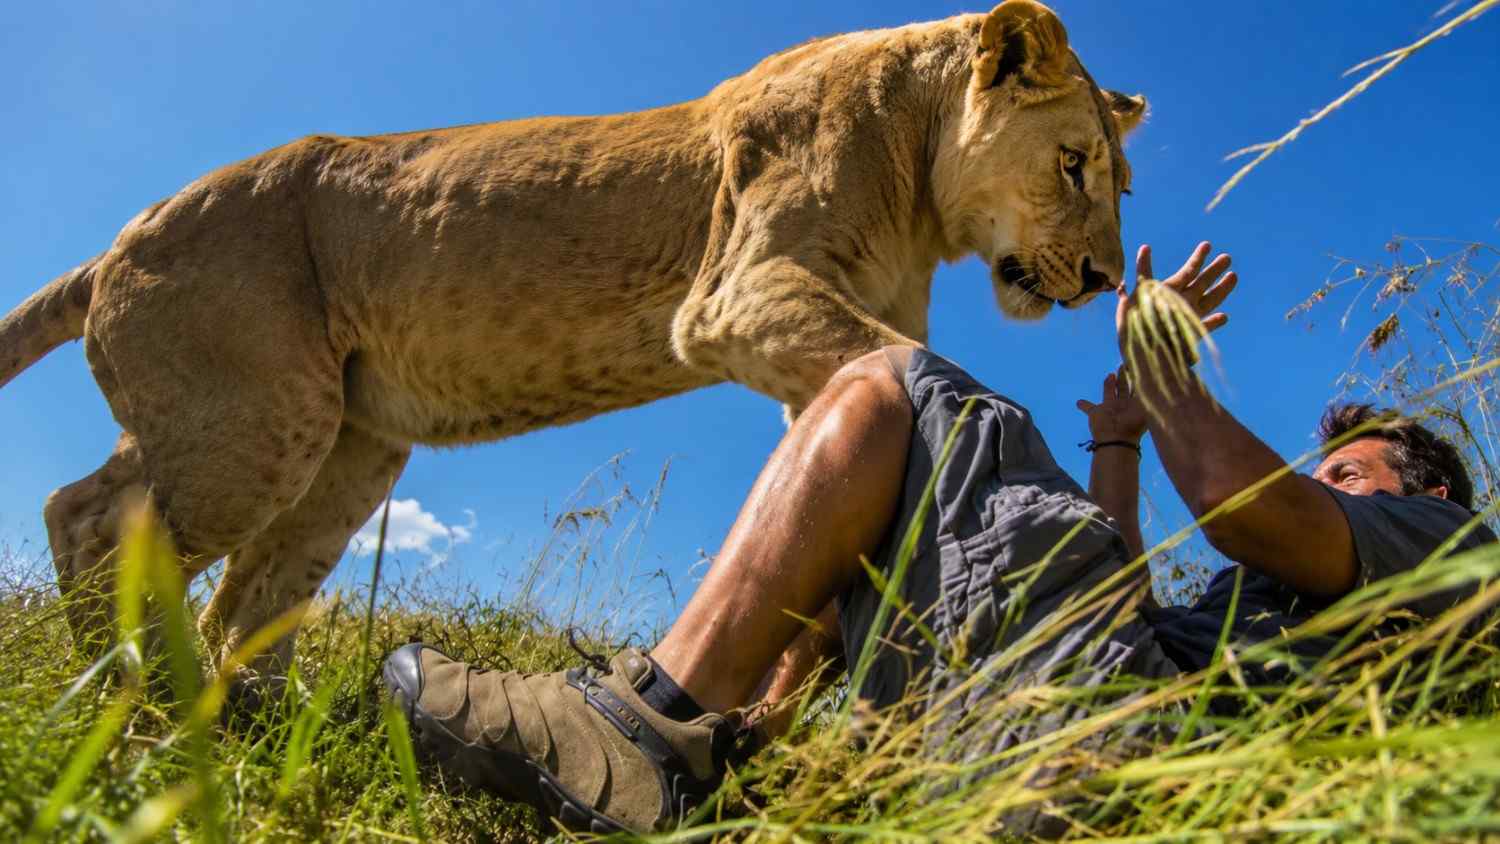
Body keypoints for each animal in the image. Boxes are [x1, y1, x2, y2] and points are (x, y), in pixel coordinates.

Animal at [0, 0, 1145, 684]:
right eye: (1075, 164)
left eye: (1120, 183)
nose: (1100, 279)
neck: (918, 176)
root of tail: (117, 241)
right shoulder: (739, 294)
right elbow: (973, 387)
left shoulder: (810, 343)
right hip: (256, 423)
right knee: (90, 516)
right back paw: (126, 691)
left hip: (343, 452)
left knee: (242, 592)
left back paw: (233, 721)